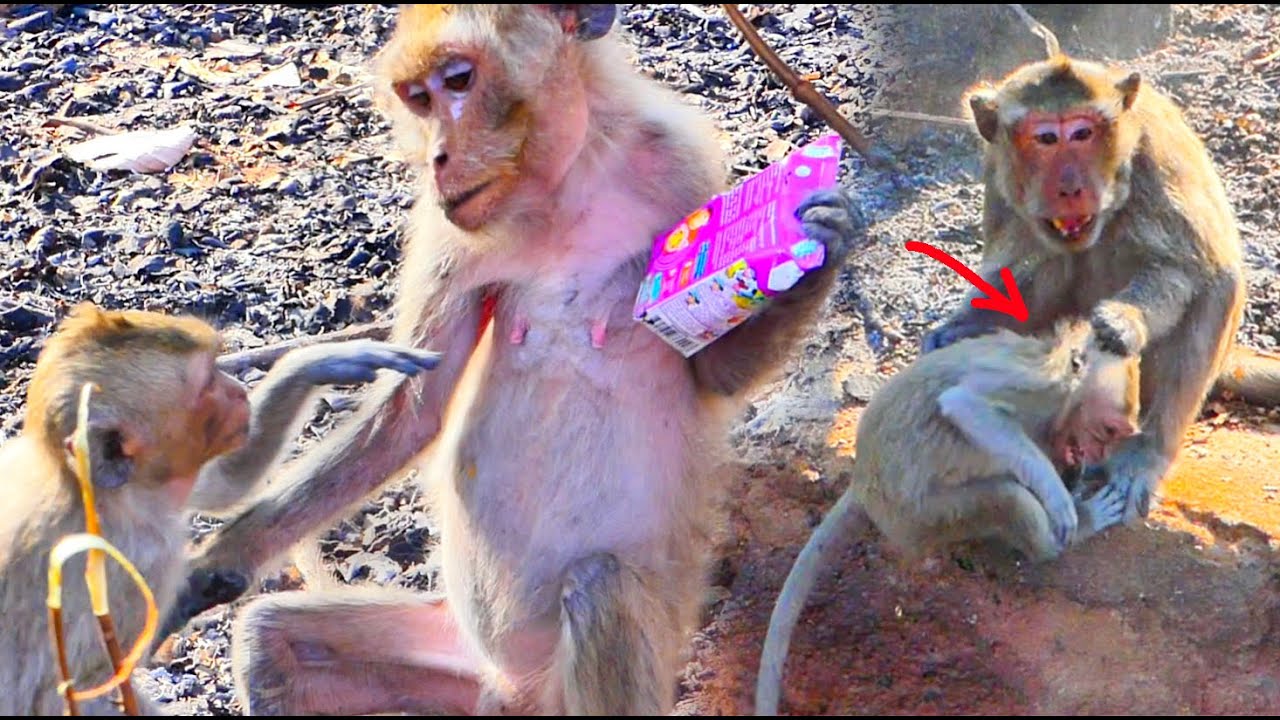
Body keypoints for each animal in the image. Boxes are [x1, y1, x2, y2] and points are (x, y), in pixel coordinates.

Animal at [0, 303, 441, 715]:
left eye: (216, 371)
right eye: (207, 385)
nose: (238, 391)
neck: (93, 490)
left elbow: (222, 486)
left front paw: (316, 362)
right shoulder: (135, 564)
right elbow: (79, 692)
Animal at [160, 4, 869, 715]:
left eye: (459, 80)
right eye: (419, 98)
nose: (437, 157)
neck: (567, 188)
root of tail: (515, 694)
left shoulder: (681, 170)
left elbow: (713, 374)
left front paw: (815, 251)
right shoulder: (450, 228)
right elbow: (414, 413)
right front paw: (219, 559)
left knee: (600, 587)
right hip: (456, 662)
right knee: (271, 639)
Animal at [754, 318, 1141, 716]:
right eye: (1108, 430)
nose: (1100, 453)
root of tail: (862, 480)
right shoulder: (1038, 386)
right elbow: (966, 405)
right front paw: (1058, 495)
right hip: (922, 517)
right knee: (1008, 497)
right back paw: (1063, 535)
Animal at [918, 52, 1280, 526]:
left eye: (1083, 133)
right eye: (1046, 138)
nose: (1071, 186)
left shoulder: (1153, 158)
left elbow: (1183, 267)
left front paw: (1123, 320)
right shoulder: (996, 176)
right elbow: (1012, 272)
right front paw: (964, 326)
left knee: (1217, 284)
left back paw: (1143, 452)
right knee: (1056, 264)